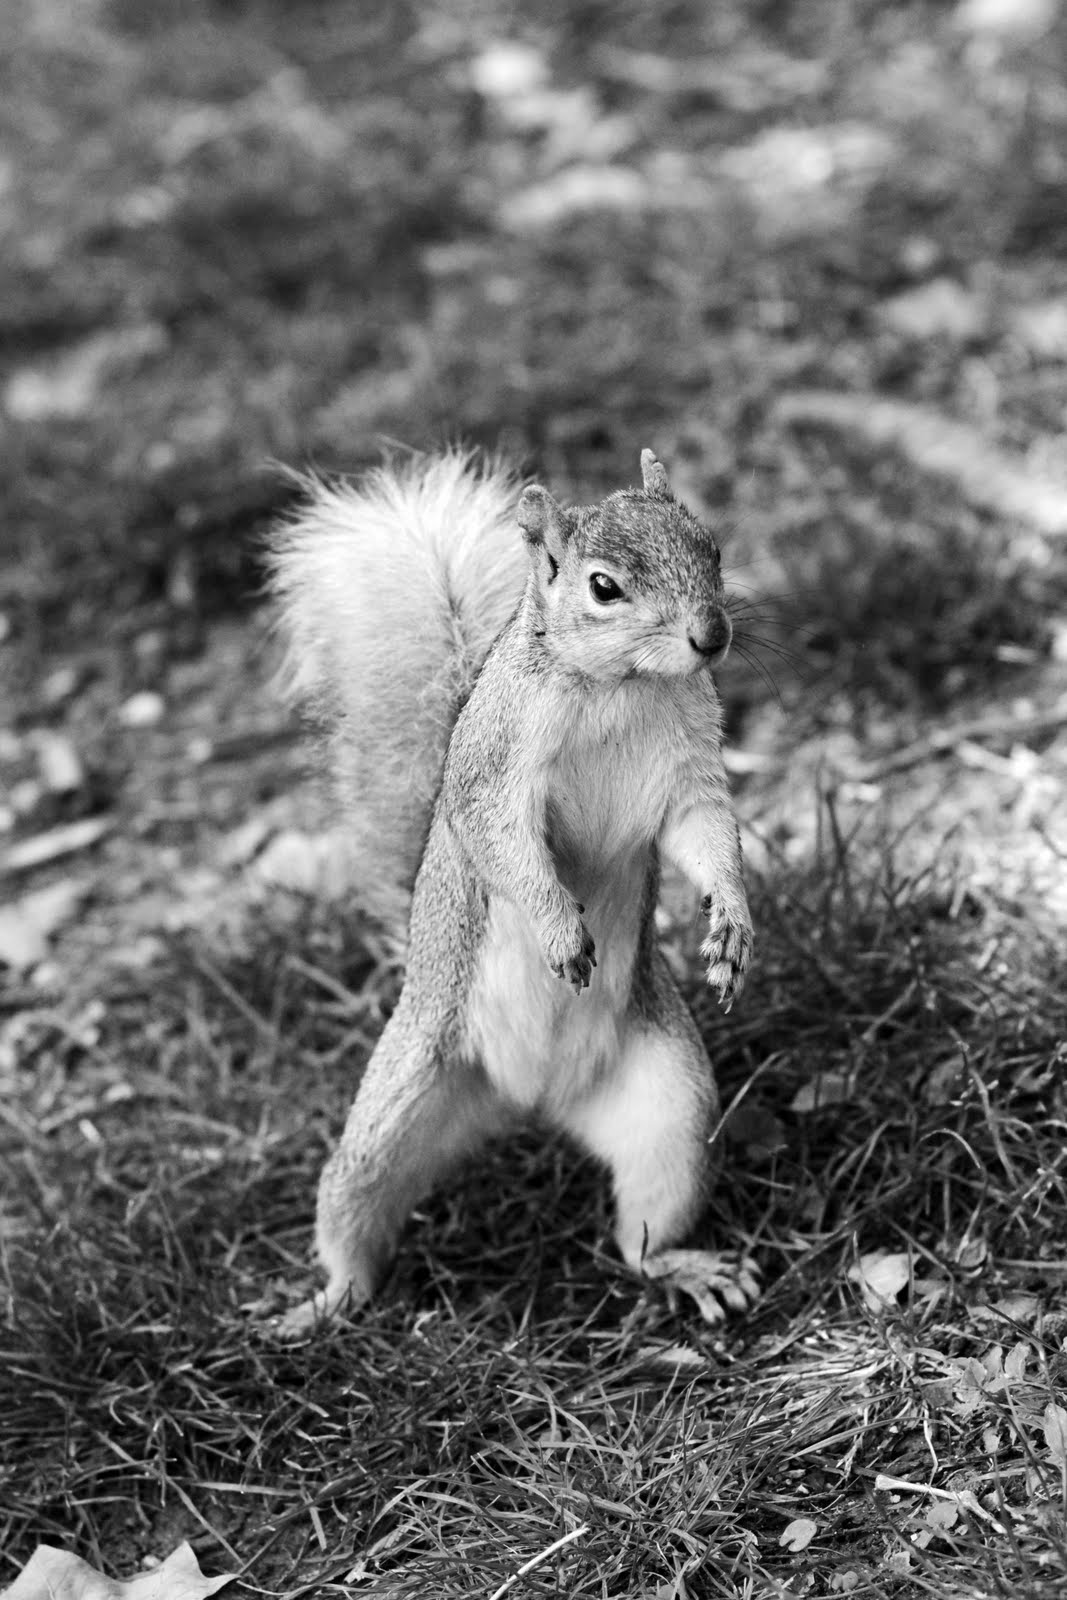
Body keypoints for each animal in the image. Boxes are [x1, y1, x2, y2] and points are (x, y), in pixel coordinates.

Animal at [267, 446, 757, 1336]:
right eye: (603, 586)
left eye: (709, 546)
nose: (712, 636)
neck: (619, 685)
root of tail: (530, 1102)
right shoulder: (494, 771)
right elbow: (507, 847)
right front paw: (558, 929)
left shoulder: (689, 768)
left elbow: (707, 834)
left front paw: (732, 924)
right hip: (397, 1106)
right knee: (354, 1220)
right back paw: (323, 1304)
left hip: (672, 1105)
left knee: (641, 1232)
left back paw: (682, 1266)